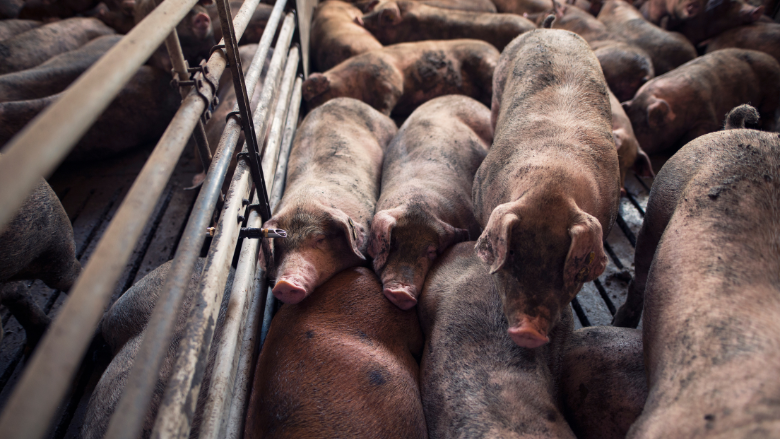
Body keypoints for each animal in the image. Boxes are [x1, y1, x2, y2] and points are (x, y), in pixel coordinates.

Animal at [302, 39, 498, 117]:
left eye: (314, 98)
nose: (307, 110)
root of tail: (495, 50)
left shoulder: (387, 75)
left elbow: (388, 98)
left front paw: (382, 114)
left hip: (481, 59)